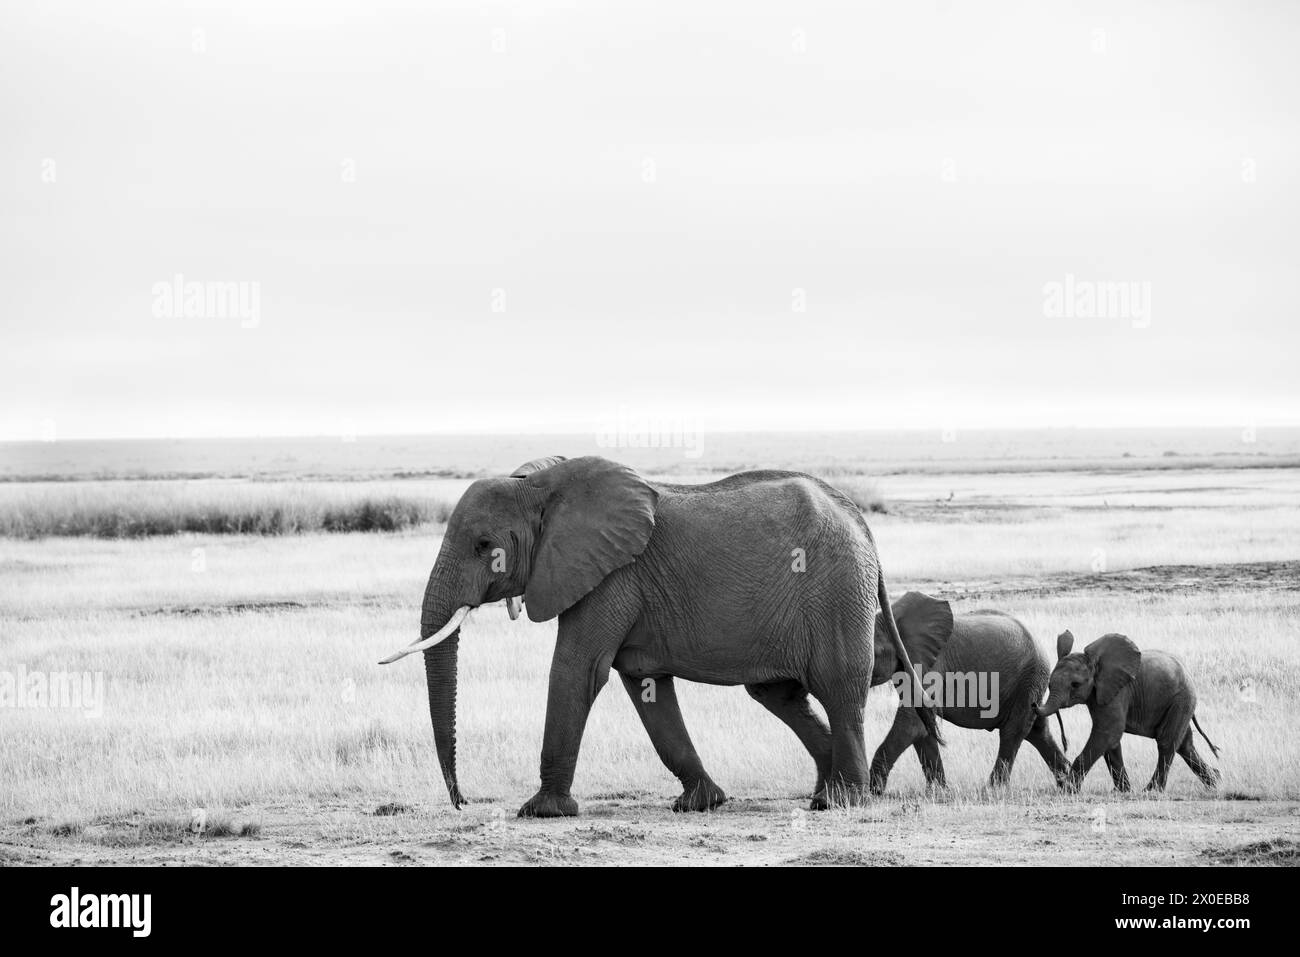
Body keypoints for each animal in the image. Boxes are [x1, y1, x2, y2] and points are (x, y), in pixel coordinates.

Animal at [378, 455, 939, 817]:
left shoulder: (610, 577)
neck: (538, 487)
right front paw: (700, 804)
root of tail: (861, 523)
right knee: (779, 694)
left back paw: (845, 802)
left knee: (839, 689)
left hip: (837, 592)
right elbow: (644, 685)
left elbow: (579, 671)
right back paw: (828, 794)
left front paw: (541, 811)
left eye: (483, 545)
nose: (461, 802)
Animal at [867, 593, 1071, 792]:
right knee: (1037, 731)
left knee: (1013, 731)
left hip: (1030, 677)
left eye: (874, 653)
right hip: (1030, 684)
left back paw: (992, 790)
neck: (894, 621)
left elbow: (913, 723)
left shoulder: (932, 666)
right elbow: (923, 724)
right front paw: (939, 791)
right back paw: (1068, 782)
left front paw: (874, 791)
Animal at [1032, 631, 1221, 792]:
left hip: (1181, 699)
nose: (1034, 703)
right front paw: (1121, 791)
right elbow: (1111, 740)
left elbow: (1108, 732)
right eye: (1049, 684)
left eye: (1075, 685)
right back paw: (1215, 782)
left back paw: (1152, 791)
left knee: (1166, 742)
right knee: (1184, 744)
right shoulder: (1100, 694)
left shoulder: (1119, 691)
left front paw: (1068, 790)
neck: (1095, 664)